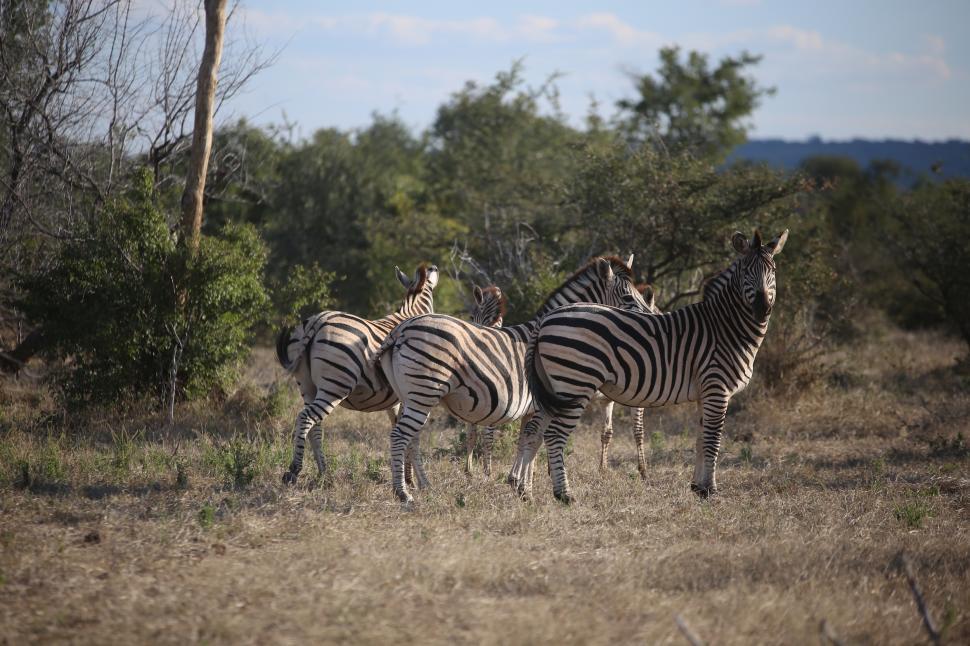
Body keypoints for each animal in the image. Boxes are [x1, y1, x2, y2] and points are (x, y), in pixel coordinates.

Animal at [275, 263, 439, 485]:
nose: (434, 267)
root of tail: (318, 319)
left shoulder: (396, 401)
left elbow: (399, 429)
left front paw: (407, 478)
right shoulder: (410, 394)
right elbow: (411, 436)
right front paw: (413, 481)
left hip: (307, 386)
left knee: (314, 426)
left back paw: (323, 474)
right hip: (335, 386)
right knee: (305, 418)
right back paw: (294, 470)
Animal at [509, 230, 788, 502]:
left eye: (773, 270)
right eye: (746, 271)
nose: (762, 309)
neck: (725, 327)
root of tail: (546, 318)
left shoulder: (705, 393)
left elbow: (700, 438)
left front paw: (697, 487)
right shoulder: (717, 388)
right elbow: (712, 440)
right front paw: (711, 491)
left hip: (554, 388)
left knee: (535, 431)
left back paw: (525, 490)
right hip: (574, 385)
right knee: (554, 435)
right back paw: (564, 494)